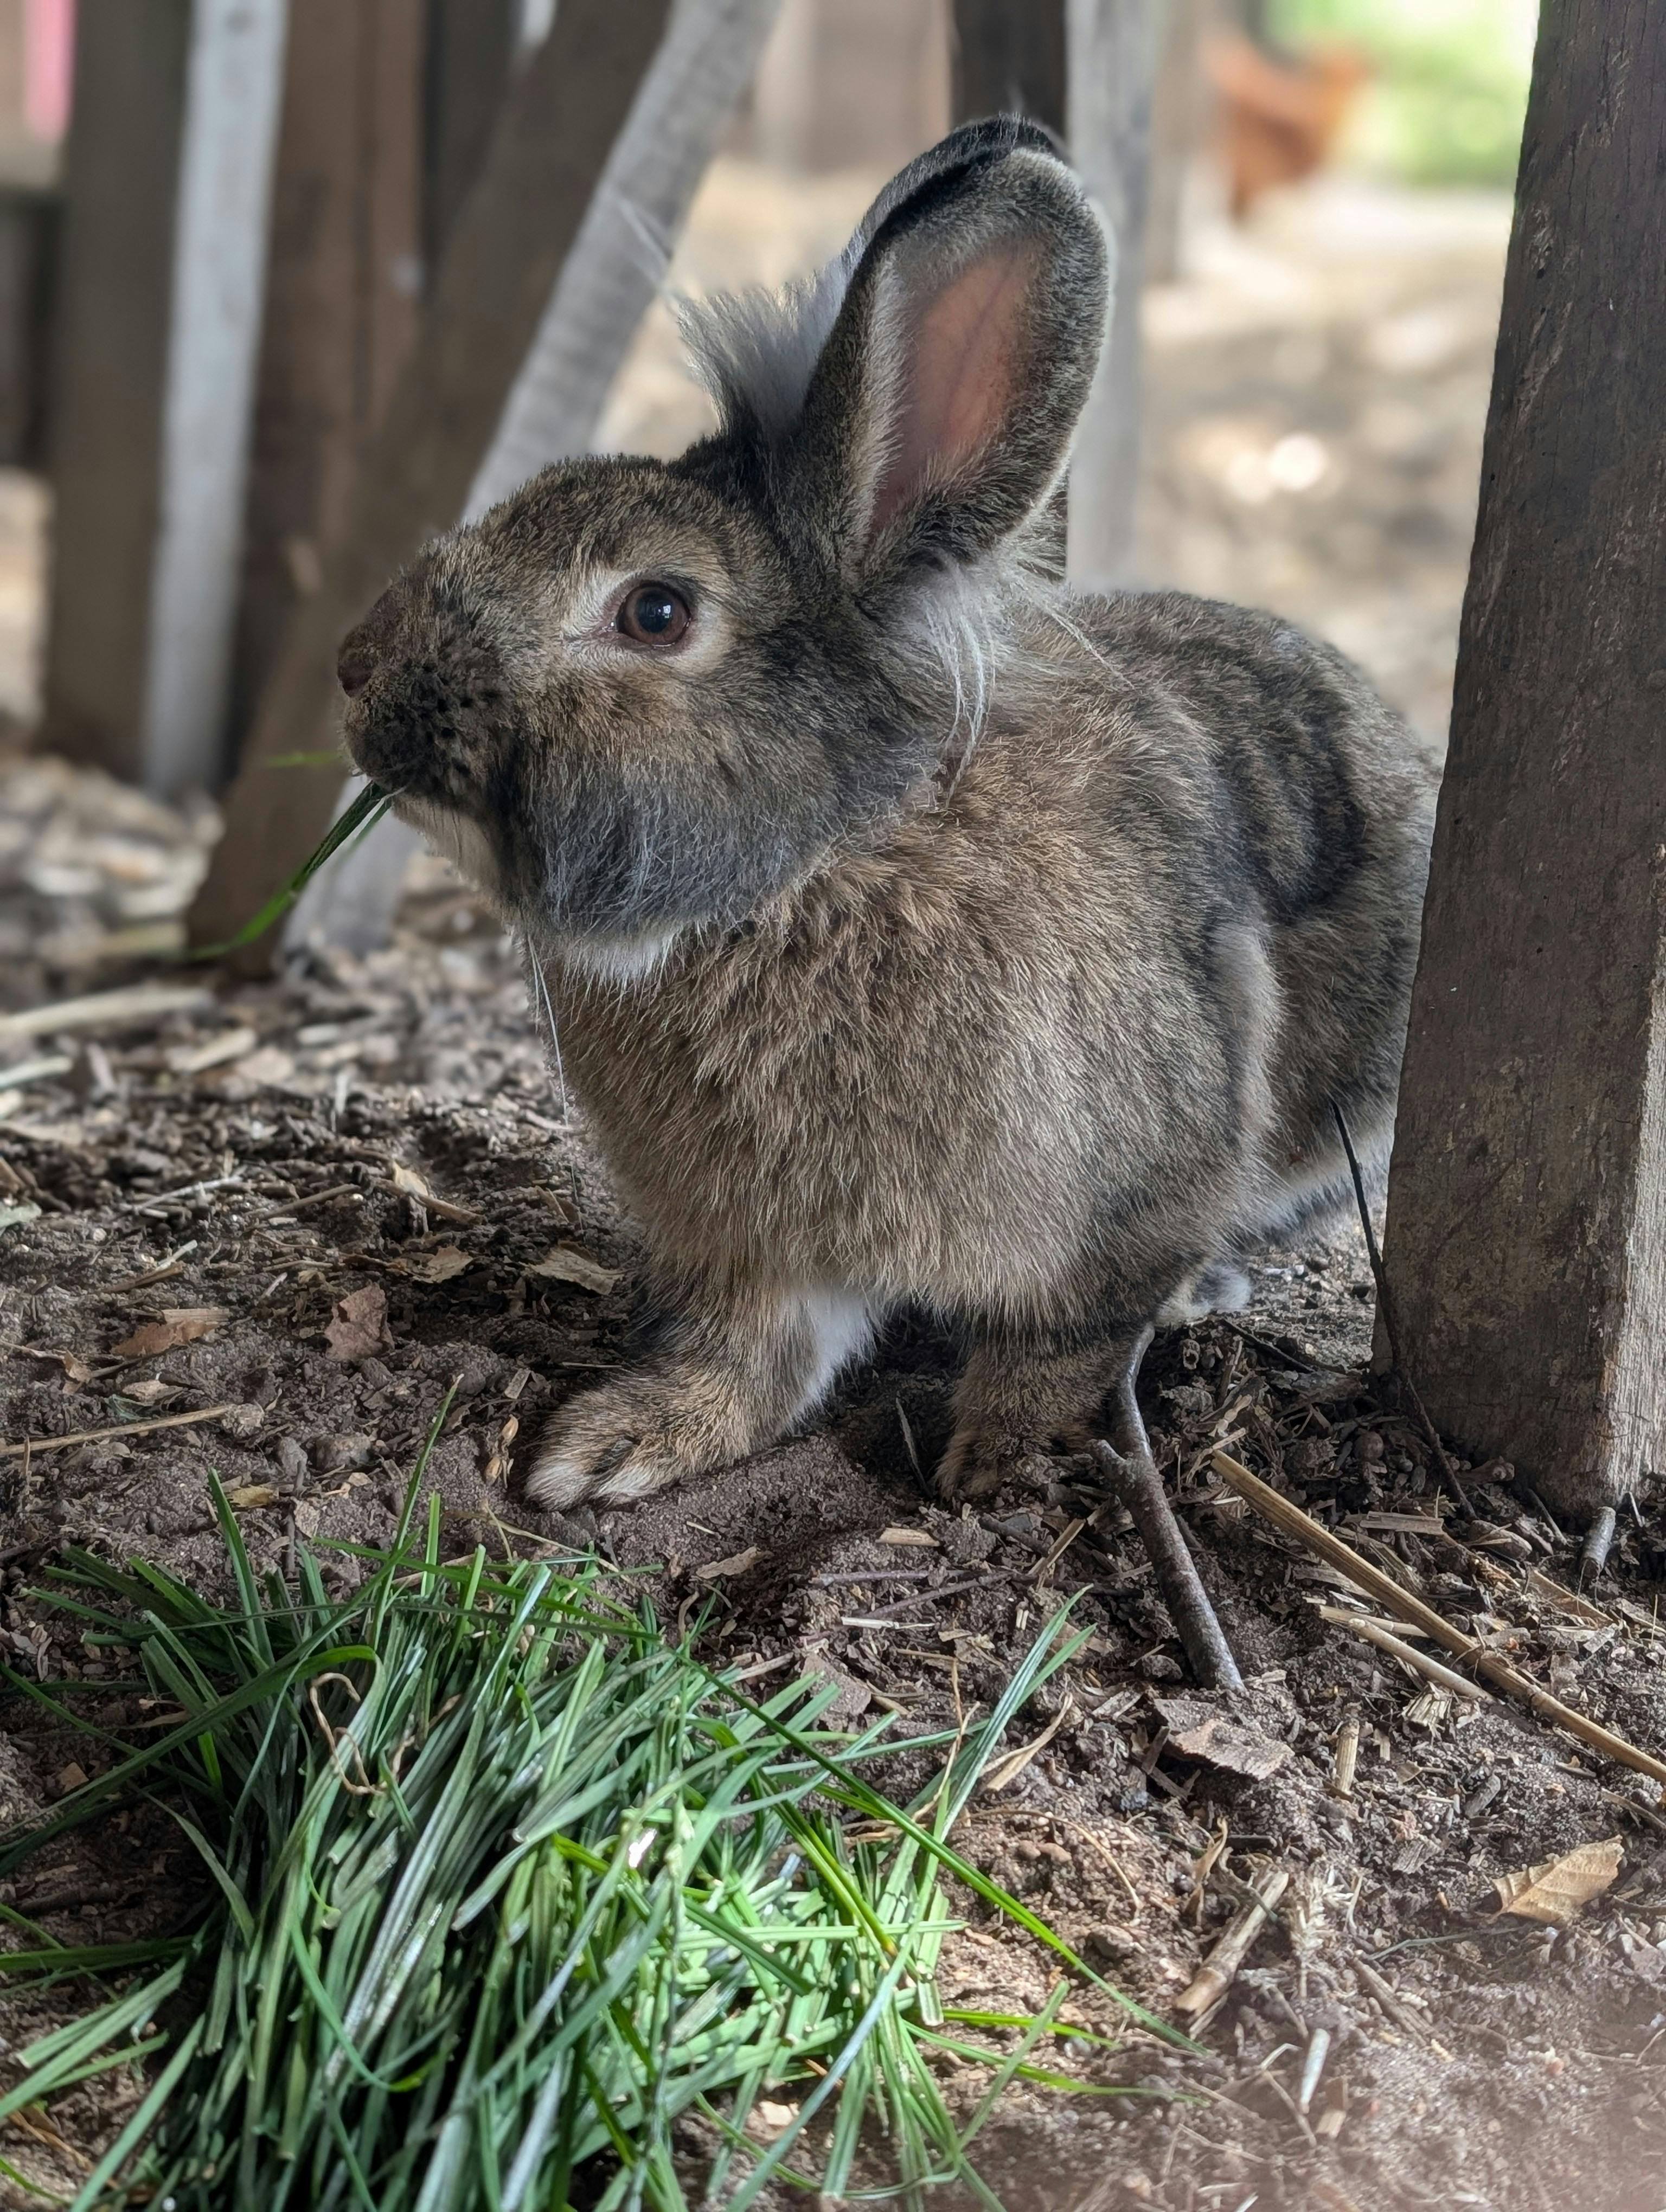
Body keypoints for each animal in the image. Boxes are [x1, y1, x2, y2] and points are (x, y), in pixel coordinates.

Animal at [336, 116, 1439, 1512]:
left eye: (656, 611)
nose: (355, 669)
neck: (817, 869)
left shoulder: (1127, 1202)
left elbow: (1062, 1345)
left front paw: (995, 1463)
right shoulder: (755, 1254)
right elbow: (755, 1355)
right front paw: (614, 1445)